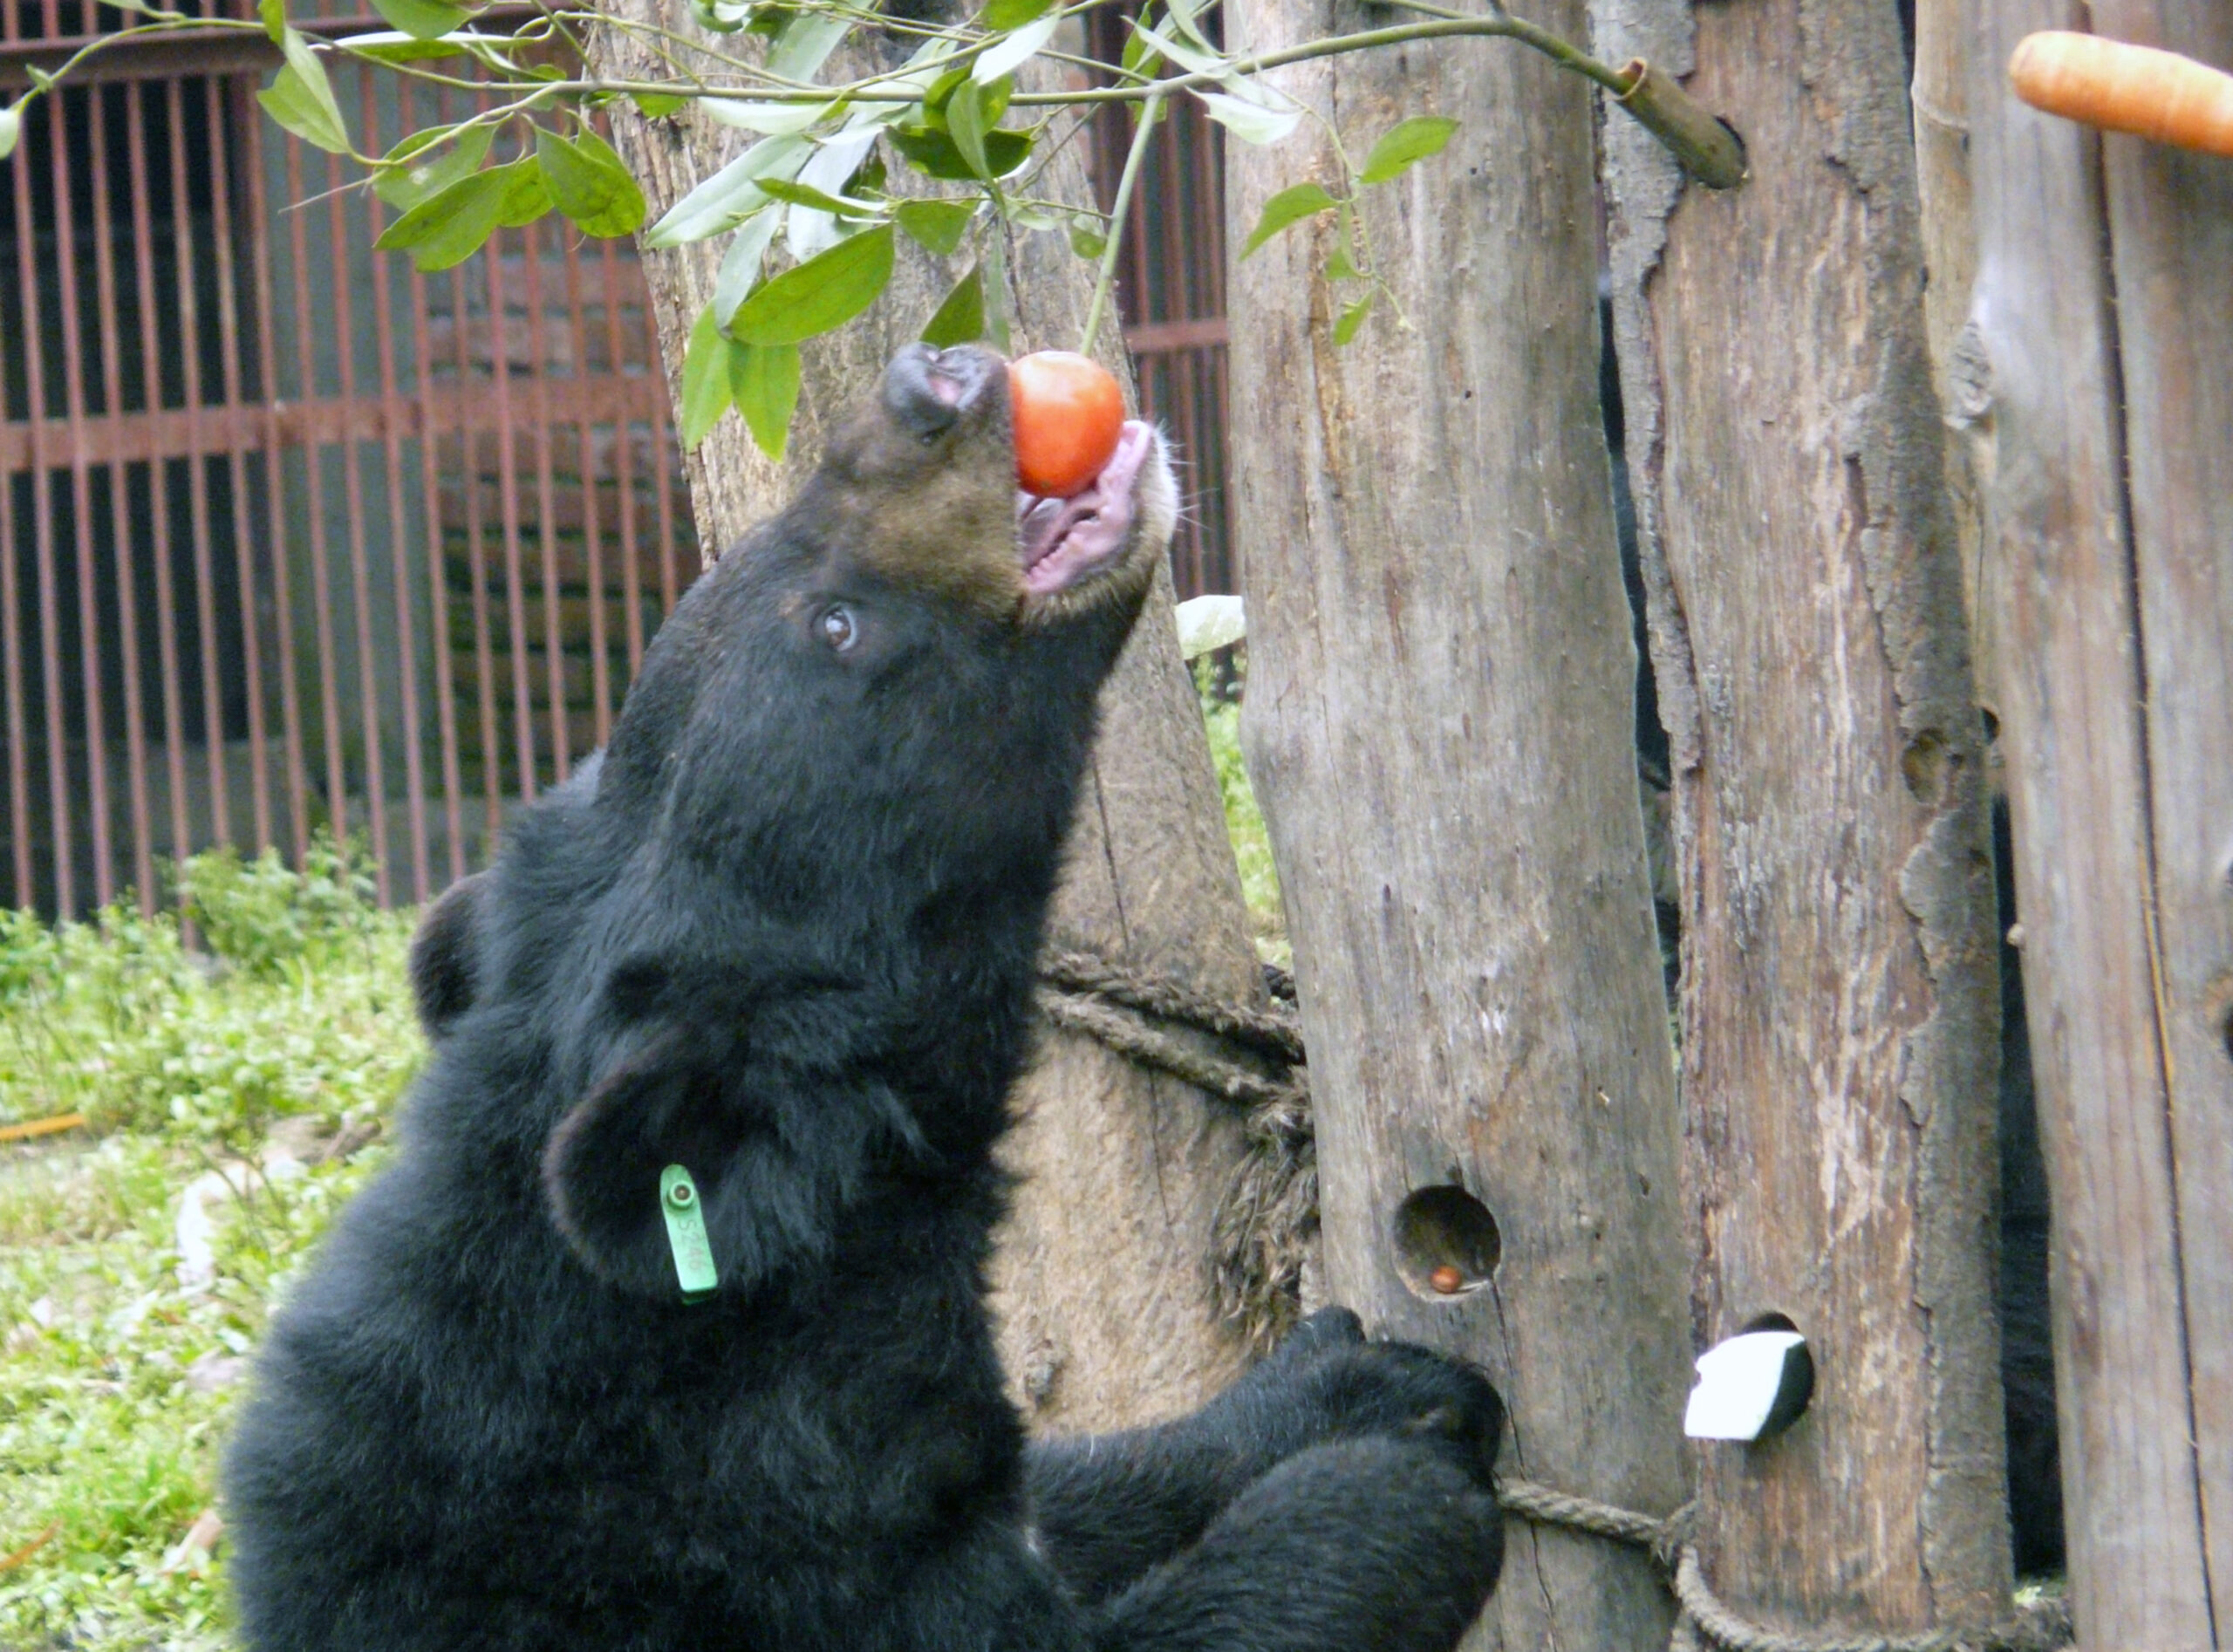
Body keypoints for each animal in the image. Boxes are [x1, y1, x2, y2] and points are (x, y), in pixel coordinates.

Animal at [223, 342, 1508, 1652]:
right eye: (837, 625)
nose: (932, 380)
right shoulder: (792, 1552)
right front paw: (1397, 1477)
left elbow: (1065, 1495)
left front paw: (1353, 1384)